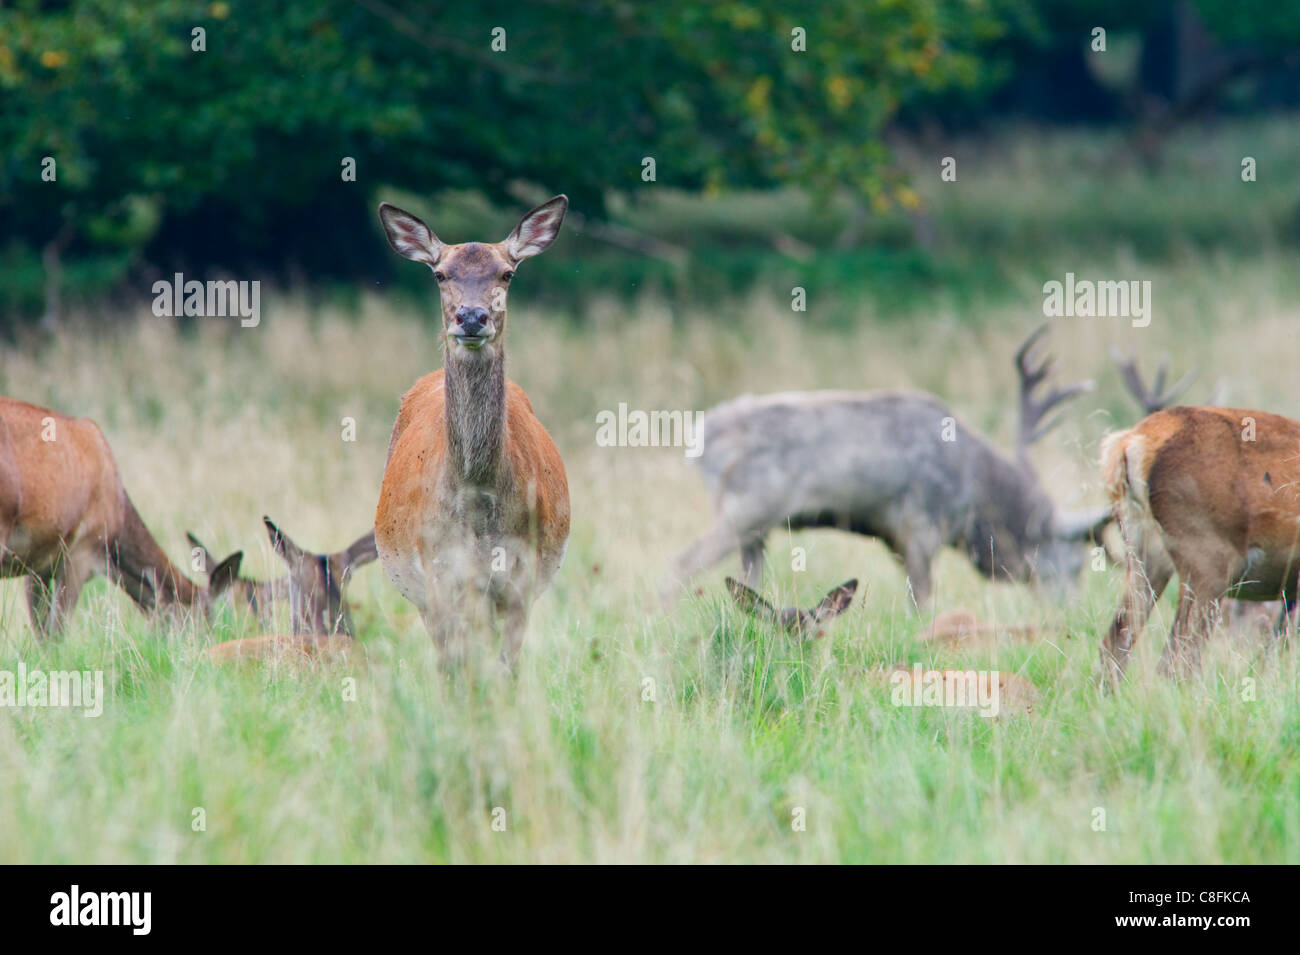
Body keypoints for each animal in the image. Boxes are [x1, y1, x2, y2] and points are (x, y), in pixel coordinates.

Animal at [0, 396, 243, 637]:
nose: (207, 642)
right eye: (205, 623)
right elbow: (57, 634)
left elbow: (41, 633)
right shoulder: (82, 549)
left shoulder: (36, 564)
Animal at [373, 196, 571, 667]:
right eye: (440, 274)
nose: (472, 317)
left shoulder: (521, 577)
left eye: (507, 272)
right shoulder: (439, 573)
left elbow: (505, 667)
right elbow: (457, 666)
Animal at [668, 324, 1109, 608]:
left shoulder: (895, 537)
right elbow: (924, 603)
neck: (976, 495)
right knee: (676, 568)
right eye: (1076, 565)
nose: (1074, 614)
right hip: (744, 511)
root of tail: (700, 441)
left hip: (755, 532)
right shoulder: (921, 525)